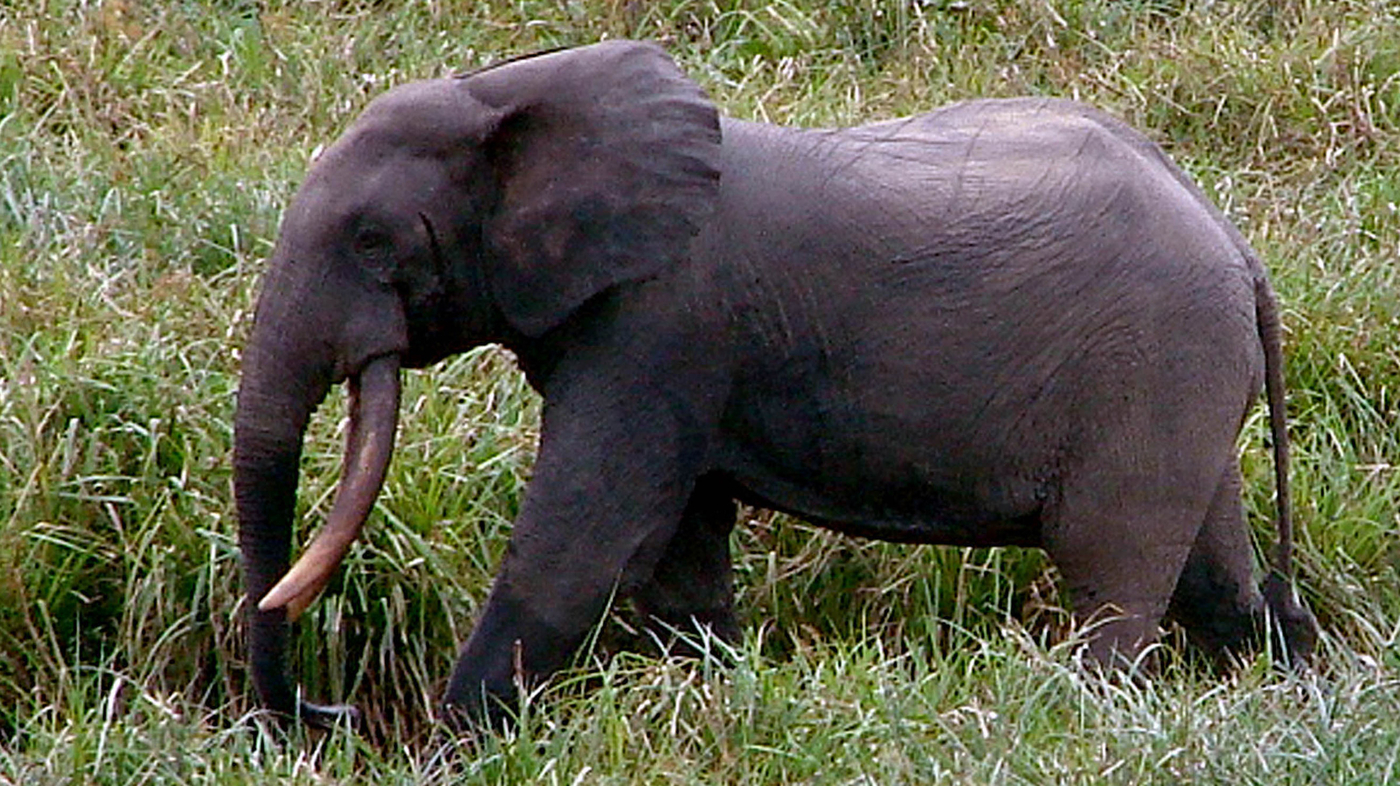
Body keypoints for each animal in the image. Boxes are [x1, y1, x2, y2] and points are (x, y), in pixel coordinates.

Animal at [234, 40, 1317, 729]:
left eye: (373, 244)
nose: (329, 710)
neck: (509, 90)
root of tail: (1242, 253)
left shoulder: (659, 325)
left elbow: (582, 540)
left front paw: (454, 748)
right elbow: (676, 555)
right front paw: (702, 696)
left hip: (1153, 369)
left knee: (1111, 583)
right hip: (1184, 380)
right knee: (1217, 578)